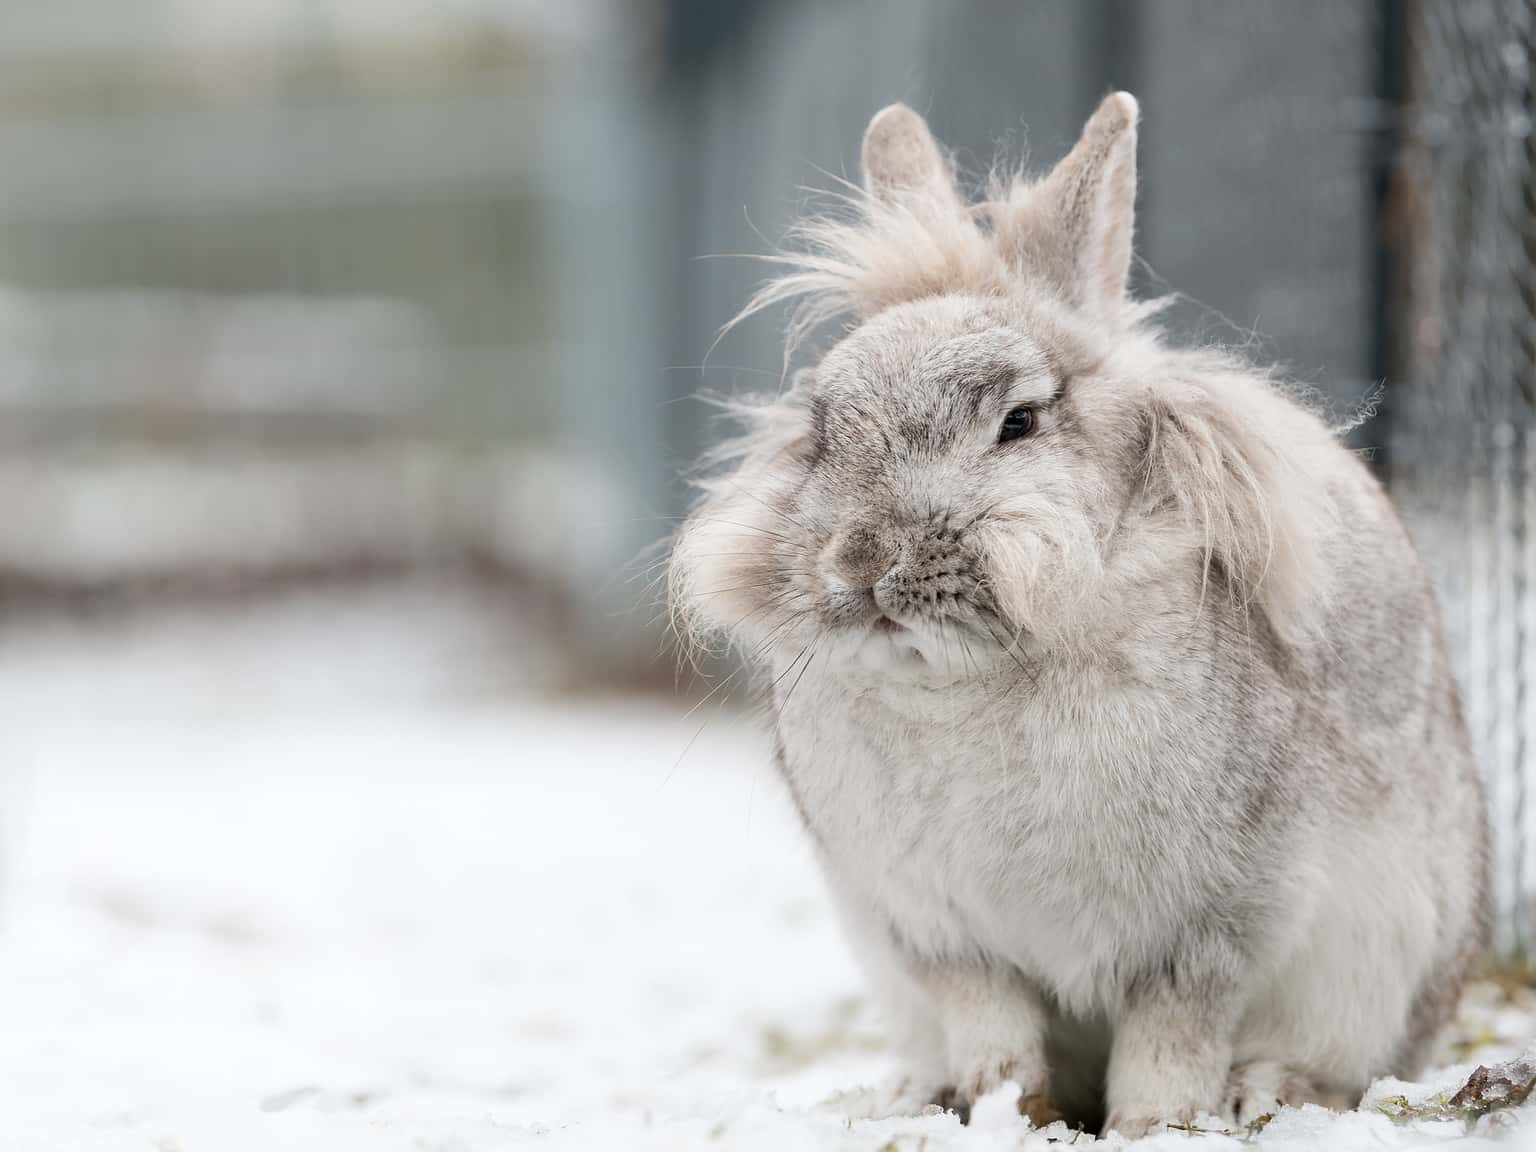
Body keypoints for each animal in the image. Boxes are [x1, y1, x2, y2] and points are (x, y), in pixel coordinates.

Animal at [669, 92, 1488, 1138]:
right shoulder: (939, 935)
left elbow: (1171, 1038)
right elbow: (997, 1038)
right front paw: (999, 1114)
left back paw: (1269, 1094)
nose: (865, 562)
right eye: (819, 431)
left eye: (1018, 422)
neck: (962, 683)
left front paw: (1153, 1128)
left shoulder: (1213, 927)